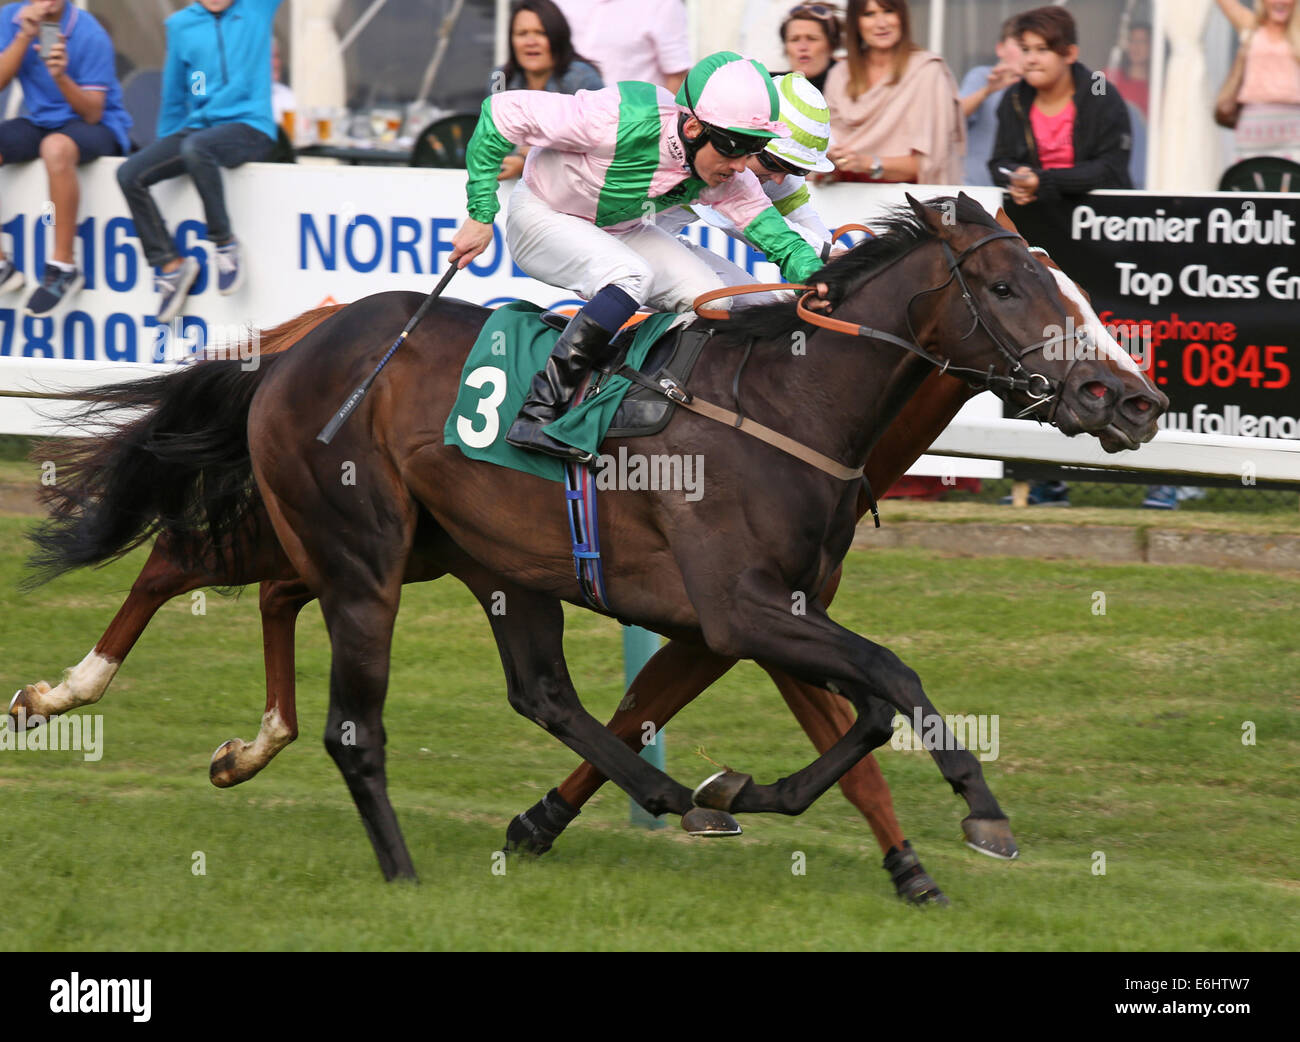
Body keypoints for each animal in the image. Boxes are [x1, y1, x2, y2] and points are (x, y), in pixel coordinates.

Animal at [15, 195, 1162, 890]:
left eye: (1066, 286)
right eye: (1008, 288)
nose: (1131, 400)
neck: (788, 403)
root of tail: (302, 341)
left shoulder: (758, 613)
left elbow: (861, 708)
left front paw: (744, 796)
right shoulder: (738, 608)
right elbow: (892, 679)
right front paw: (976, 815)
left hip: (444, 553)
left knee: (499, 676)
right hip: (363, 551)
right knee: (330, 695)